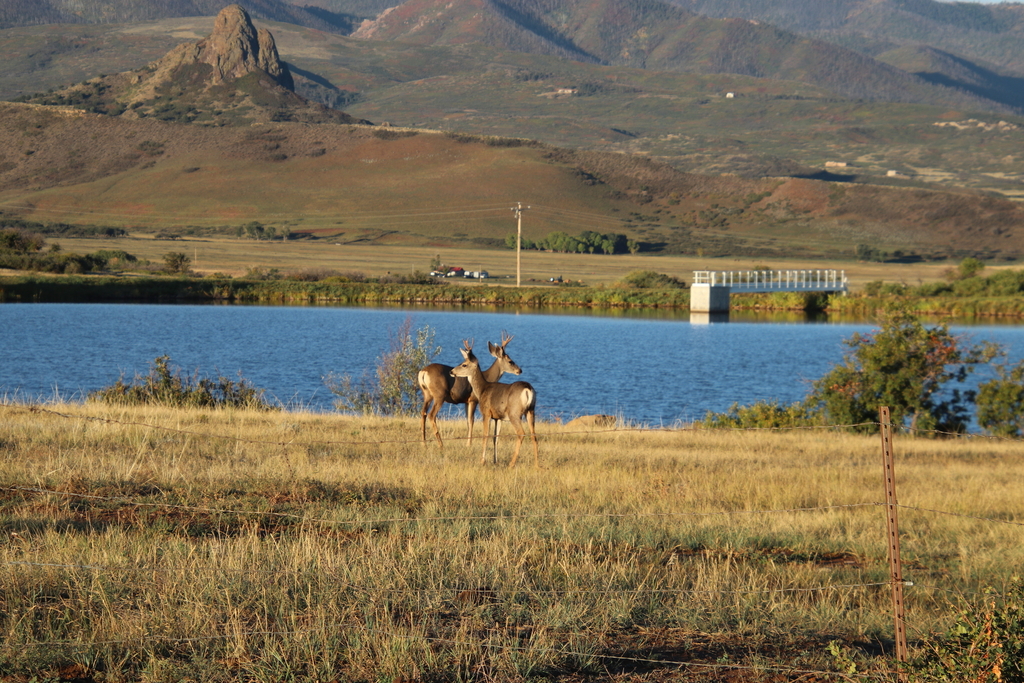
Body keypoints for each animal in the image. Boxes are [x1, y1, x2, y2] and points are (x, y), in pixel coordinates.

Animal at [450, 339, 539, 468]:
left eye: (464, 364)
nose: (451, 371)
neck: (482, 389)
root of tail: (528, 389)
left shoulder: (486, 412)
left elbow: (485, 435)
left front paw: (482, 461)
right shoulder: (498, 417)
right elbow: (495, 438)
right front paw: (495, 460)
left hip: (514, 413)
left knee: (521, 433)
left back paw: (511, 464)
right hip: (531, 410)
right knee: (534, 435)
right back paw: (537, 464)